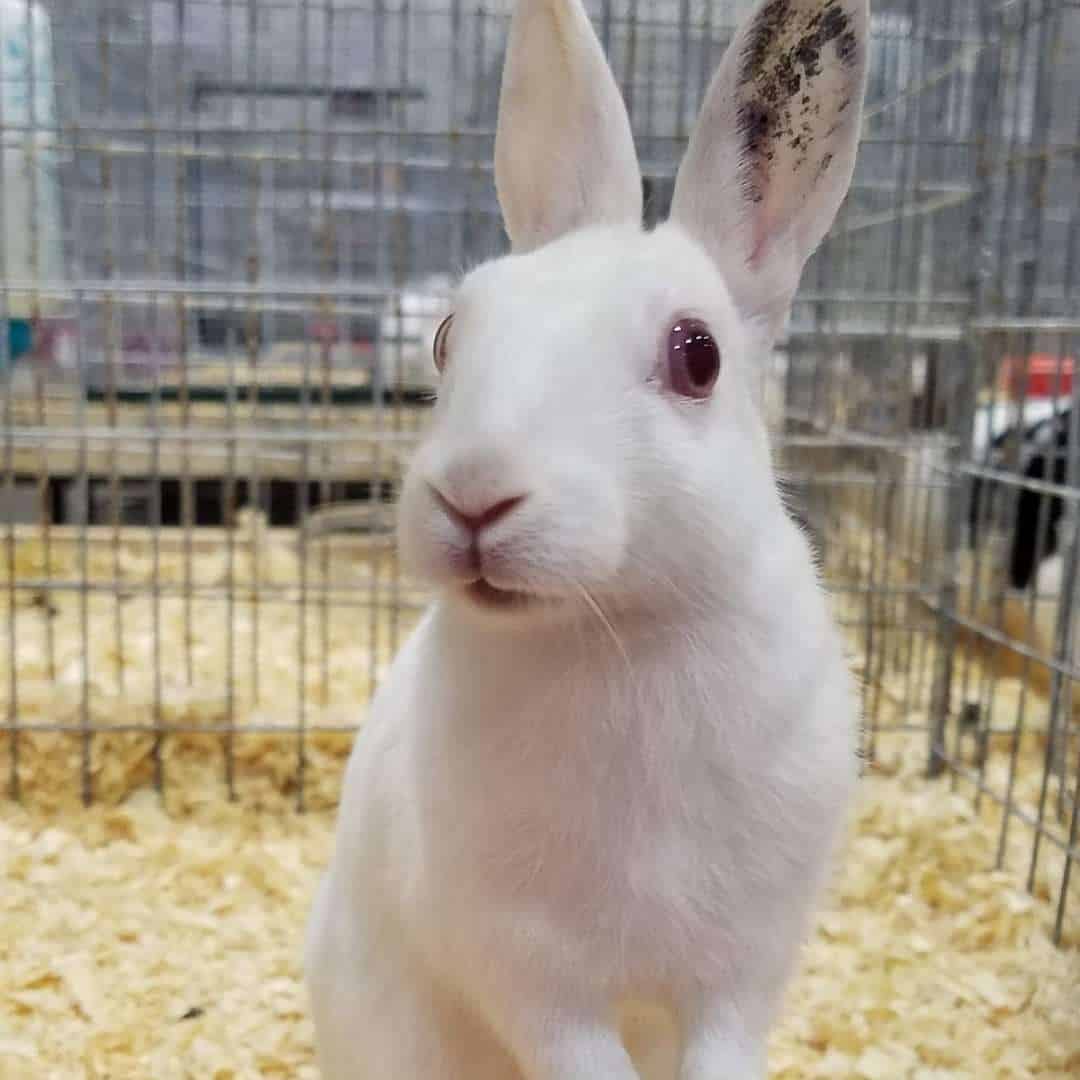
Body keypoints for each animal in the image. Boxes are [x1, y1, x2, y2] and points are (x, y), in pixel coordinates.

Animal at [305, 0, 869, 1077]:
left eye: (699, 356)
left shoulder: (741, 970)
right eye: (447, 337)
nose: (475, 493)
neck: (622, 632)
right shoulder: (529, 973)